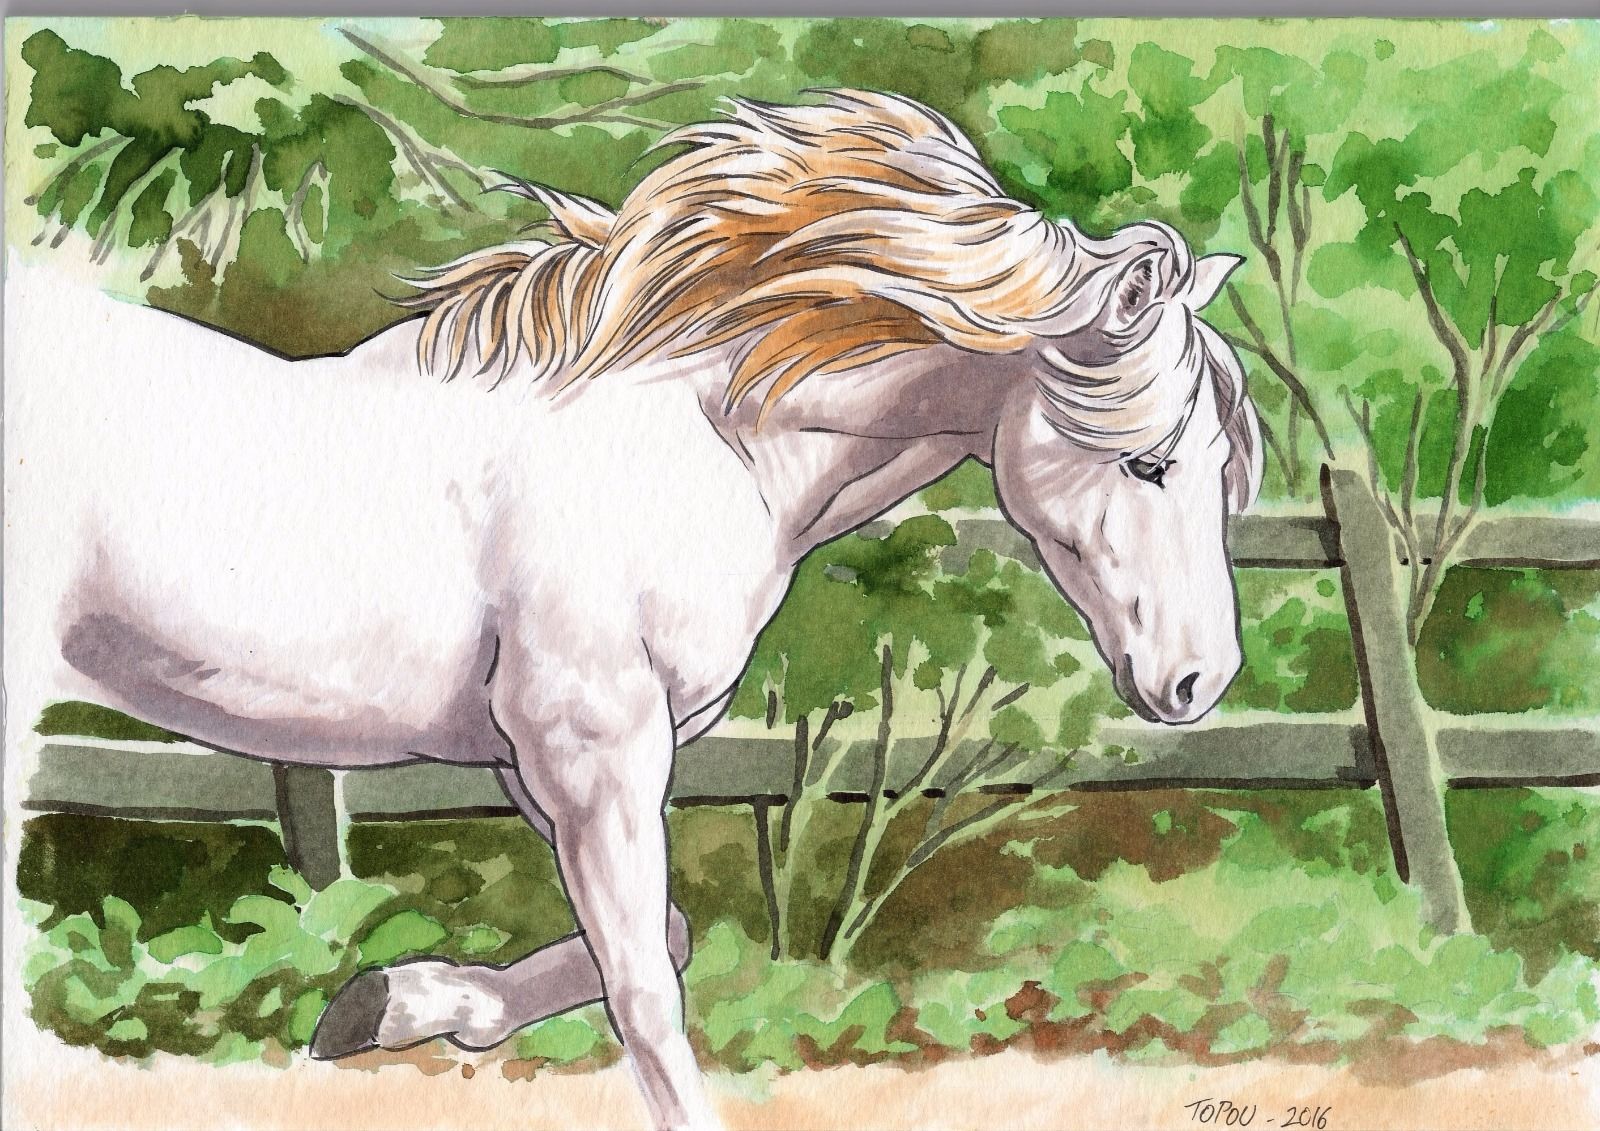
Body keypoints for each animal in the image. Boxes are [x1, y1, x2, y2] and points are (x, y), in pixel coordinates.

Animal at [3, 89, 1261, 1129]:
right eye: (1148, 462)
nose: (1197, 680)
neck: (690, 444)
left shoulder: (541, 762)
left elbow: (655, 938)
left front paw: (385, 1006)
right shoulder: (592, 747)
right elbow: (647, 991)